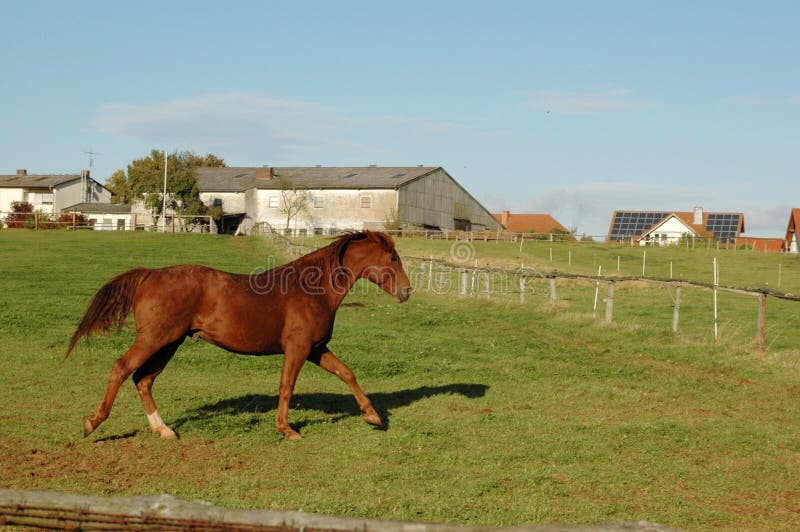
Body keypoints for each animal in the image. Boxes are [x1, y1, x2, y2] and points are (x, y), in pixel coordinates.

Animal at [64, 230, 413, 441]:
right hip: (155, 339)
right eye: (394, 258)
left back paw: (164, 430)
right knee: (122, 368)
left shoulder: (316, 349)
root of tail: (149, 274)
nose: (407, 291)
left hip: (169, 343)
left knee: (143, 379)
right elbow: (287, 386)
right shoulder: (298, 349)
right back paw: (92, 422)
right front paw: (286, 429)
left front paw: (373, 416)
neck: (312, 289)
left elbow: (347, 373)